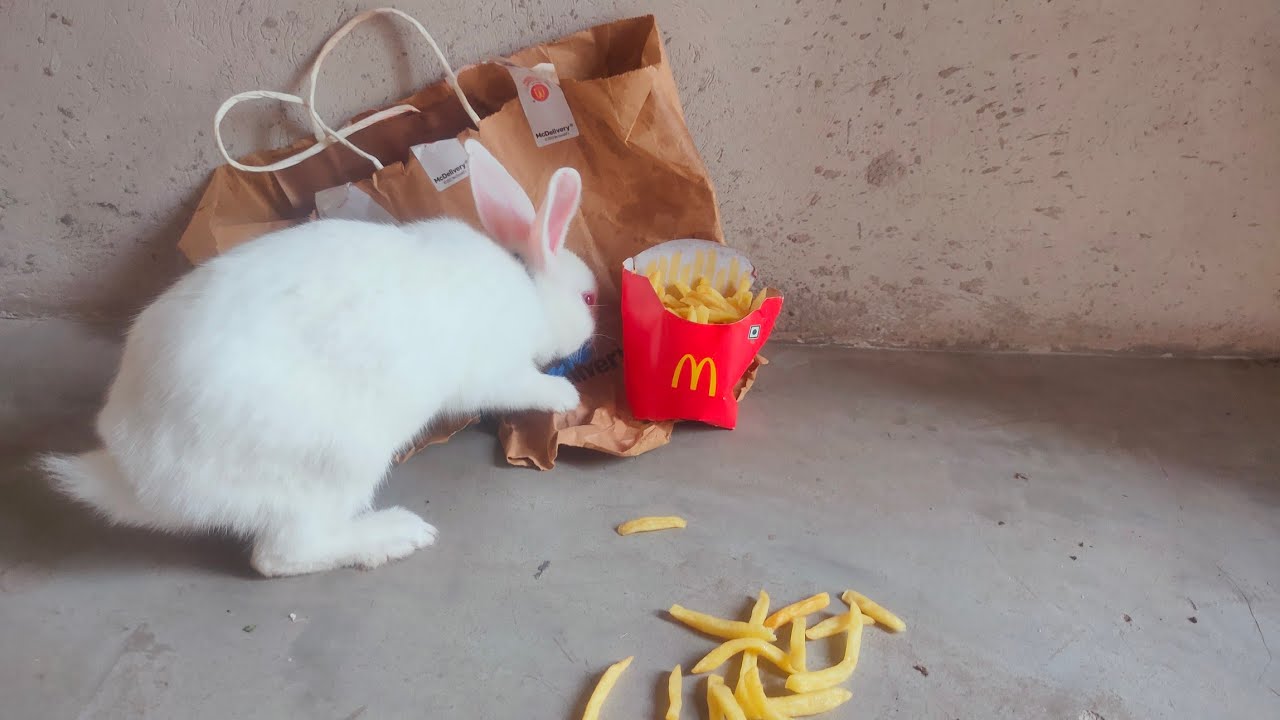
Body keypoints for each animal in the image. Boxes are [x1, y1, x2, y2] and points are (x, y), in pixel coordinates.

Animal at [40, 139, 597, 577]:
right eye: (589, 298)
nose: (594, 329)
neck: (530, 290)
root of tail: (140, 476)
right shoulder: (496, 370)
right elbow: (522, 385)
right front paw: (565, 395)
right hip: (339, 462)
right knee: (280, 555)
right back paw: (396, 535)